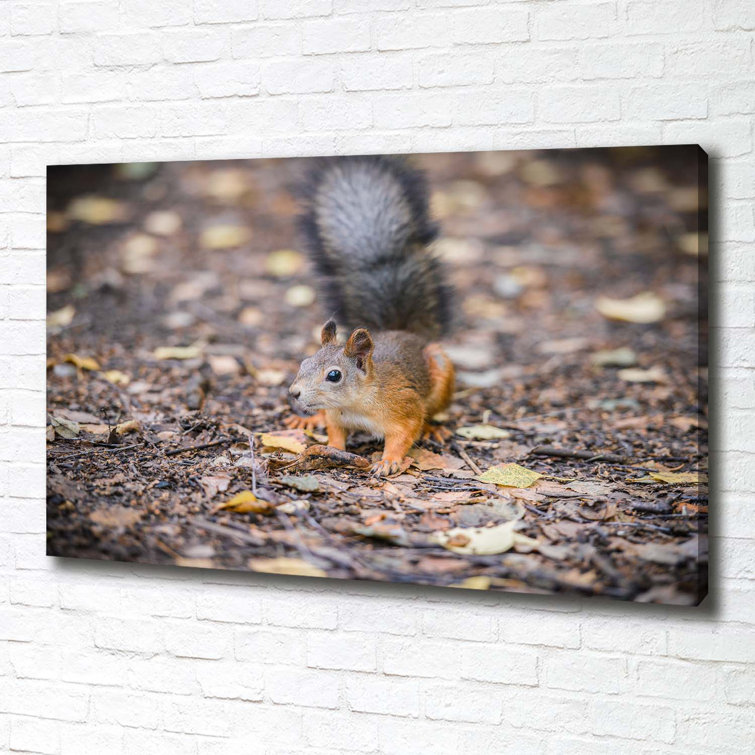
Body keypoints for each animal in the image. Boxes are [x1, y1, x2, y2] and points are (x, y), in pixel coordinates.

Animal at [286, 155, 455, 477]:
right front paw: (331, 447)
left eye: (334, 375)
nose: (294, 393)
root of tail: (404, 332)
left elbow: (405, 434)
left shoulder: (404, 407)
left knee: (431, 412)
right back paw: (309, 418)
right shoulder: (336, 416)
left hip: (441, 369)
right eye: (304, 363)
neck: (356, 404)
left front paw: (388, 461)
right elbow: (335, 433)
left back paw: (432, 428)